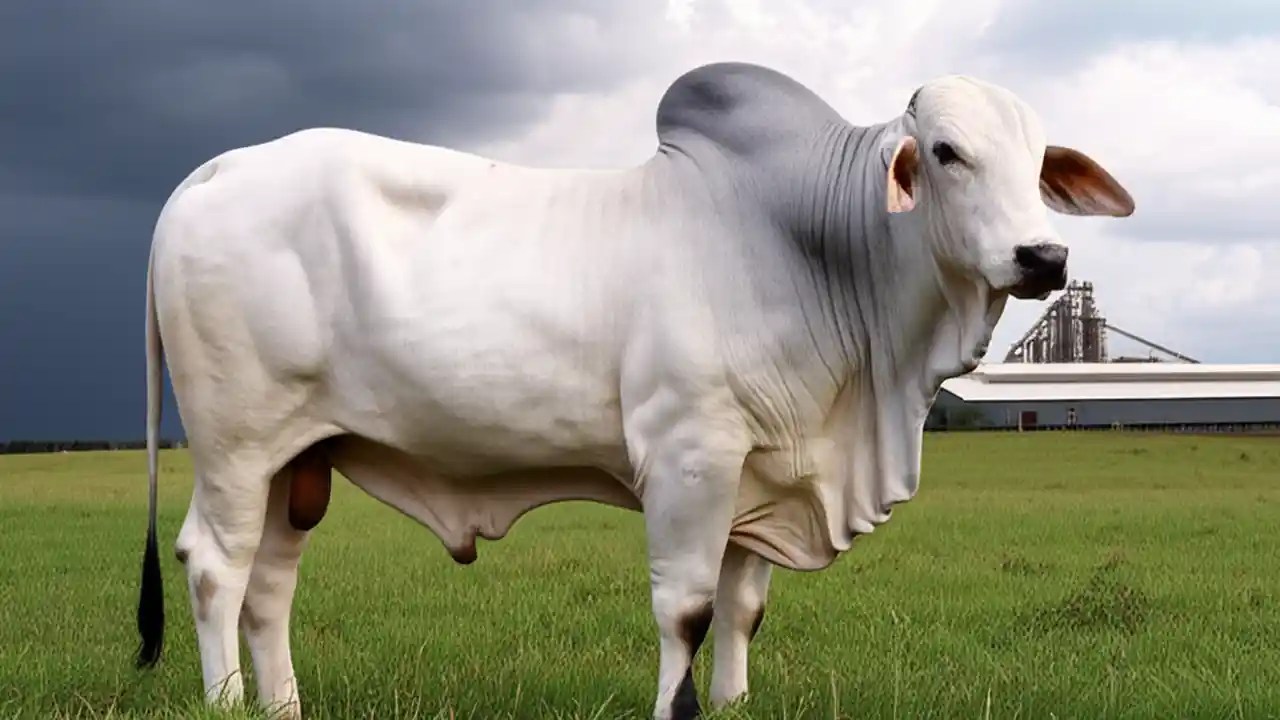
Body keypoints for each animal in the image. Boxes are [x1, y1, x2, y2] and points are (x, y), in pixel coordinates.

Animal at [133, 61, 1133, 719]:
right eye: (948, 152)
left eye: (1038, 162)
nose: (1044, 257)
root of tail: (212, 170)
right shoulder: (692, 459)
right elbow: (685, 610)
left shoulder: (766, 470)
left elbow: (742, 609)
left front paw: (731, 704)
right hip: (236, 445)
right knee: (215, 566)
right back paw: (228, 703)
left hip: (299, 458)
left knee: (270, 583)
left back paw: (281, 705)